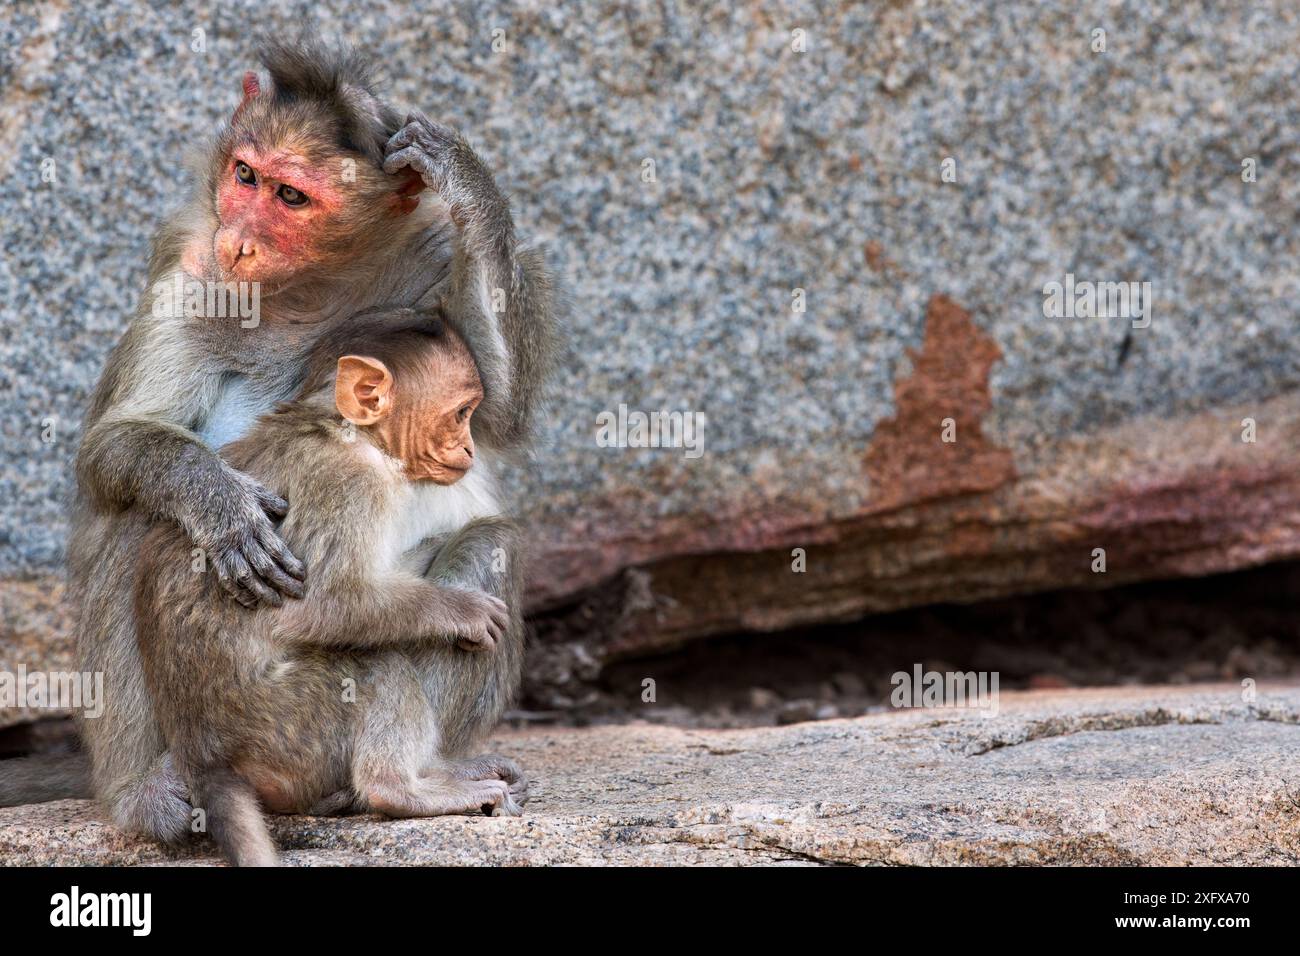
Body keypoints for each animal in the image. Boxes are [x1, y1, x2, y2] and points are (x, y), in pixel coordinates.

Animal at [137, 315, 525, 866]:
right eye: (461, 413)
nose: (470, 448)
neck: (346, 430)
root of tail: (203, 755)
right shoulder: (350, 483)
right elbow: (330, 604)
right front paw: (459, 608)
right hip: (285, 727)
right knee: (376, 662)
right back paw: (403, 790)